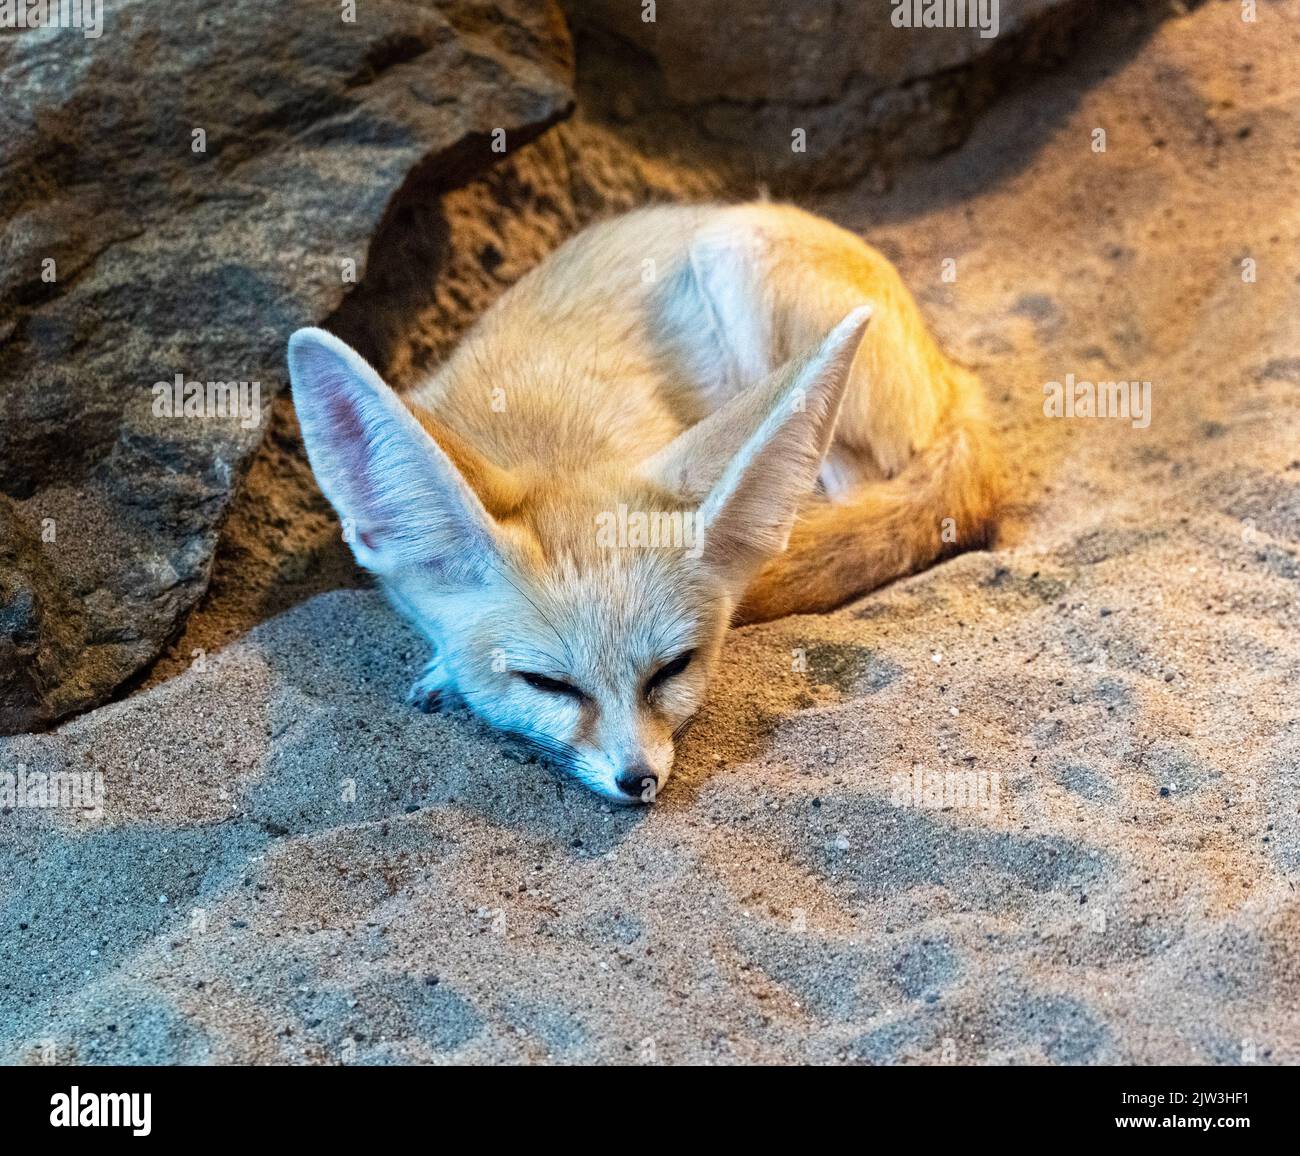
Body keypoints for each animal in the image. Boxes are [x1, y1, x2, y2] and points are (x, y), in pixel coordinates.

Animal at [287, 202, 1000, 804]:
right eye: (548, 685)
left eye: (673, 669)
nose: (639, 781)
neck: (552, 436)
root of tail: (955, 372)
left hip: (735, 257)